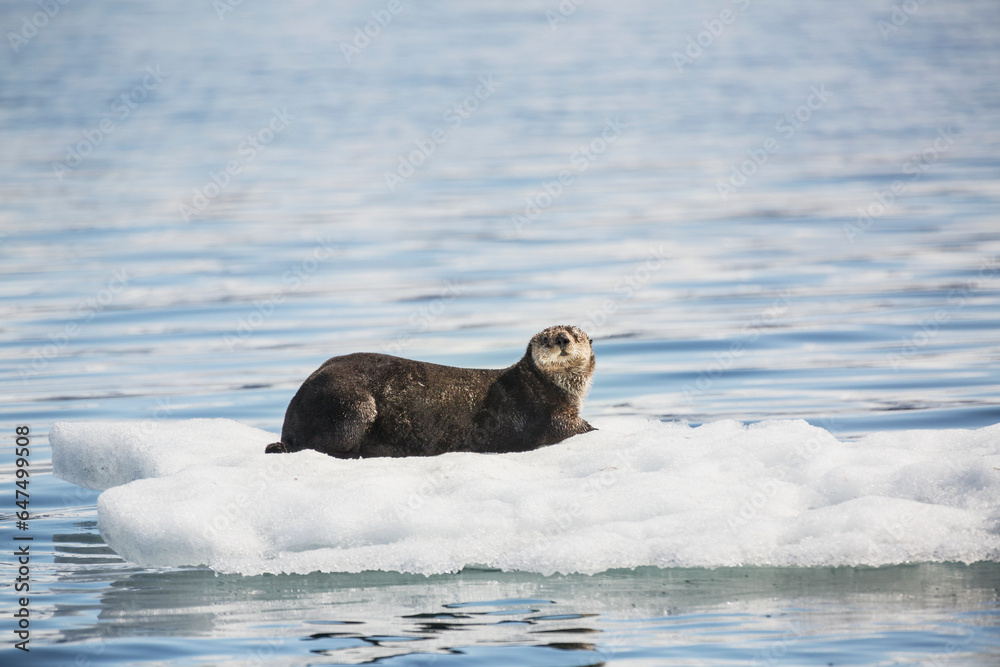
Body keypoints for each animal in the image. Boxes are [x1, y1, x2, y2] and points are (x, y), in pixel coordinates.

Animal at [265, 325, 595, 458]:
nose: (562, 339)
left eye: (576, 335)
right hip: (351, 403)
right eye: (546, 338)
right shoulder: (546, 412)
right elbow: (570, 427)